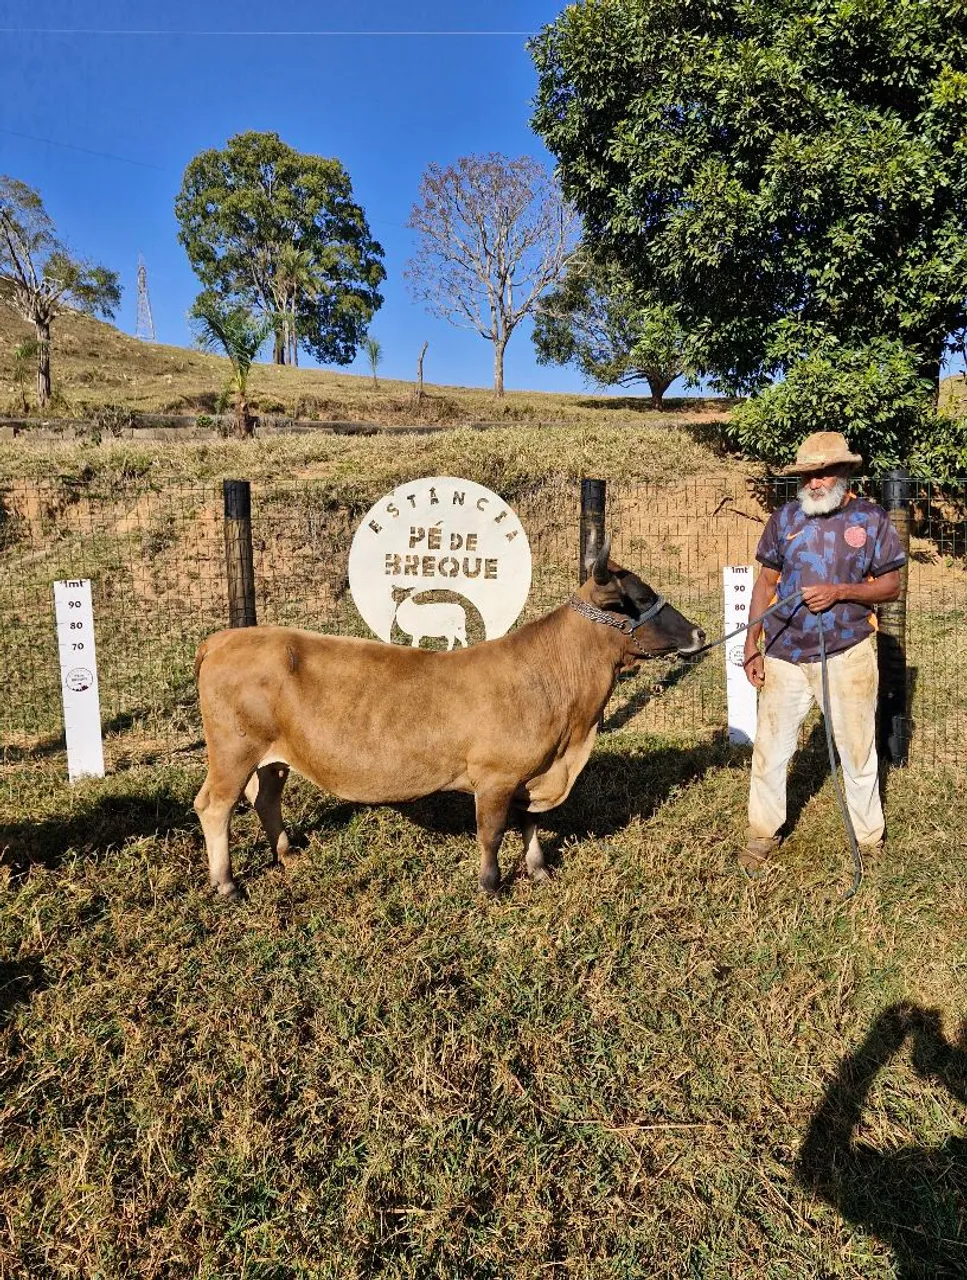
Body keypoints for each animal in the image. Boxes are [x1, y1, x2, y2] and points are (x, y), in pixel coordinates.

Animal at [193, 535, 705, 901]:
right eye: (641, 596)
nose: (700, 632)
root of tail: (224, 638)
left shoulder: (529, 773)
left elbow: (528, 824)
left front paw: (538, 870)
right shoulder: (495, 776)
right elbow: (492, 833)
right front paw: (490, 885)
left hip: (273, 757)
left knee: (265, 800)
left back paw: (287, 852)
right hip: (234, 752)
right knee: (214, 806)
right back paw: (228, 883)